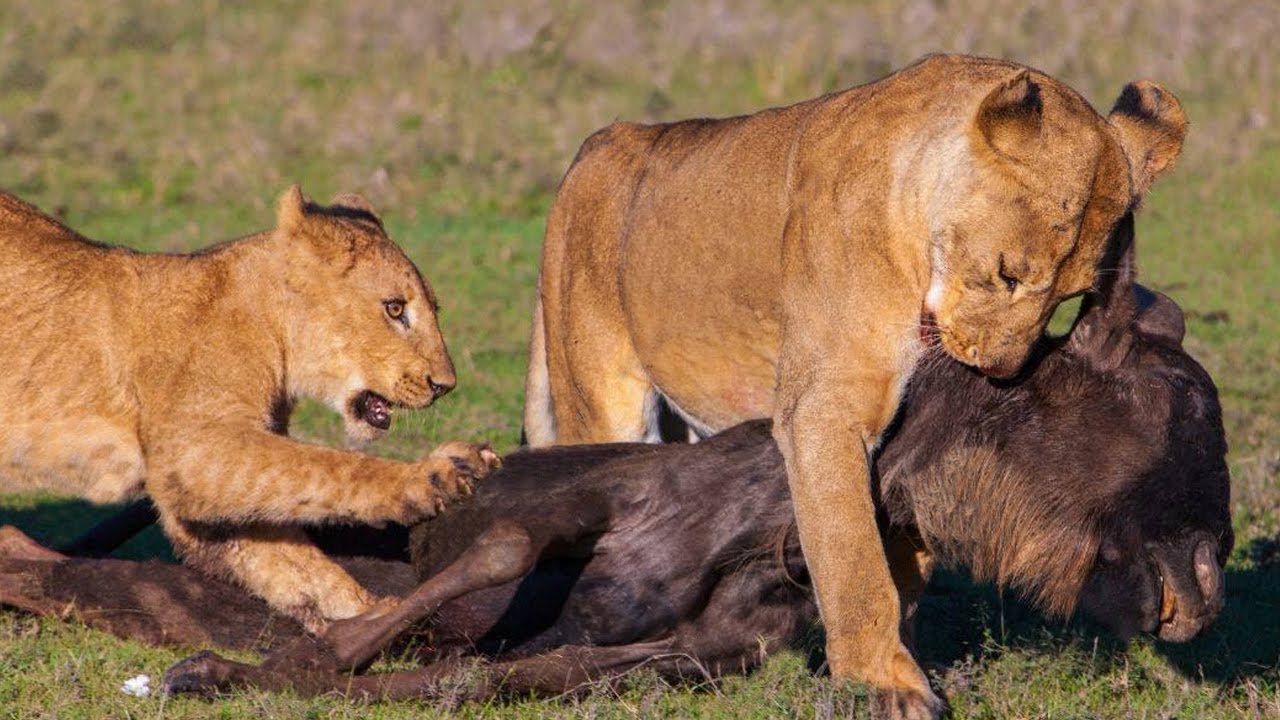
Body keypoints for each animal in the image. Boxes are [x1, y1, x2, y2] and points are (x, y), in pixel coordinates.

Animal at [0, 186, 498, 631]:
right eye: (395, 309)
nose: (445, 385)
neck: (273, 332)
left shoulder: (205, 494)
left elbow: (294, 563)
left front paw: (371, 616)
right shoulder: (194, 451)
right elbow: (327, 465)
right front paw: (430, 476)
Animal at [523, 54, 1188, 716]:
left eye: (1068, 299)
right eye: (1007, 274)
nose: (999, 370)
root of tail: (601, 142)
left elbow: (902, 564)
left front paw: (907, 659)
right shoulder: (824, 413)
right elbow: (855, 563)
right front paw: (885, 685)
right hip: (600, 397)